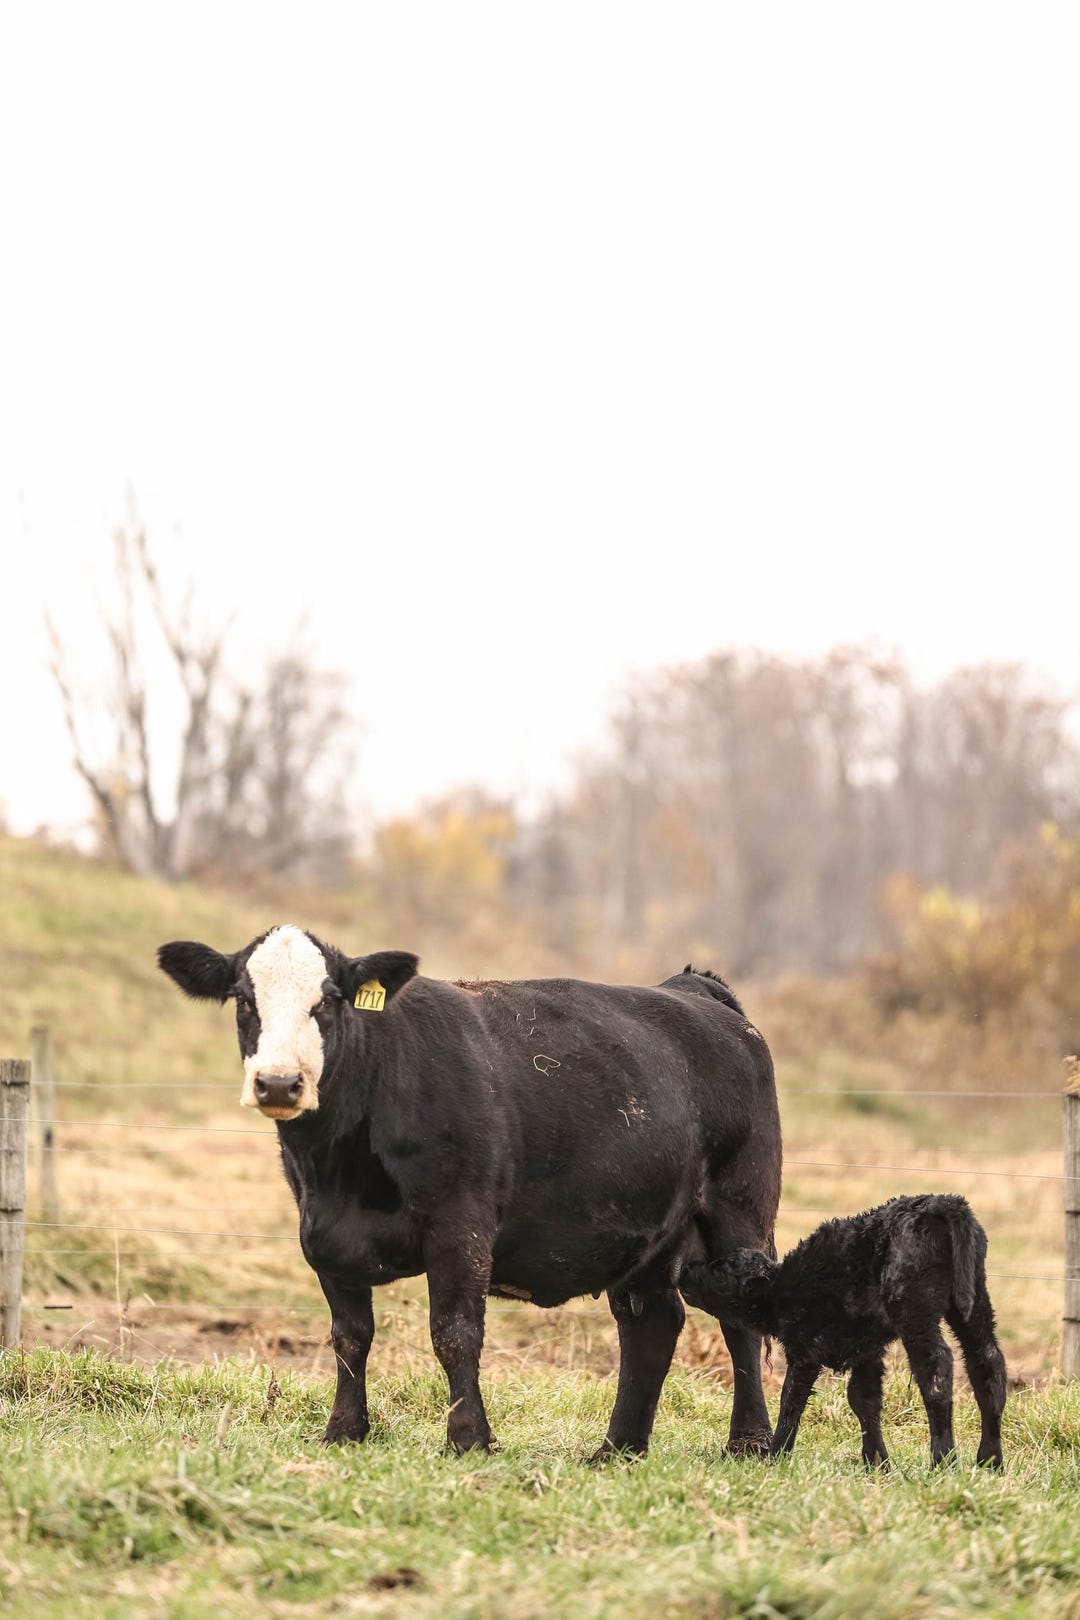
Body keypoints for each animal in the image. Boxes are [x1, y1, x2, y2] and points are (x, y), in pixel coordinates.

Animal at [158, 926, 782, 1458]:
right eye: (244, 999)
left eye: (329, 999)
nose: (279, 1083)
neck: (340, 1170)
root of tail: (694, 990)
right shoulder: (320, 1233)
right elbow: (350, 1336)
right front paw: (344, 1431)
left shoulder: (461, 1225)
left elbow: (454, 1333)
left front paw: (468, 1439)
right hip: (647, 1229)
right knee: (650, 1322)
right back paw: (617, 1450)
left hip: (738, 1212)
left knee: (739, 1318)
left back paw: (748, 1444)